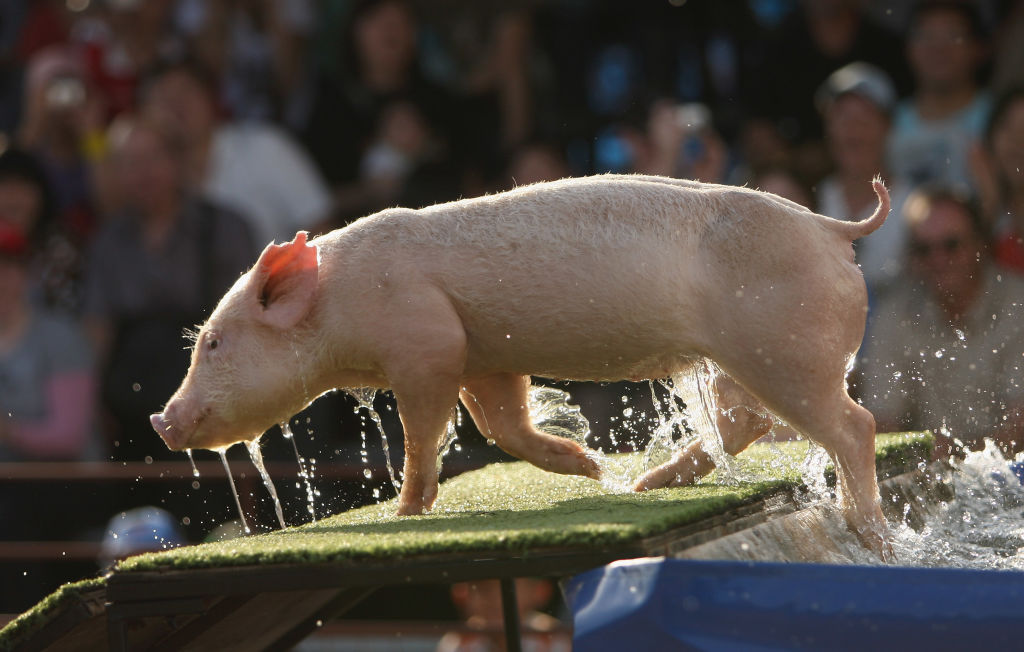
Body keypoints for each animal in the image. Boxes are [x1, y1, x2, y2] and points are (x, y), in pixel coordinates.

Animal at [150, 174, 892, 555]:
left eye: (212, 343)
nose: (161, 419)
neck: (342, 300)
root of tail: (834, 228)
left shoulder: (425, 343)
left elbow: (425, 433)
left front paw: (406, 513)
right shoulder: (483, 355)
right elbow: (501, 425)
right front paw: (589, 466)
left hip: (785, 349)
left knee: (854, 424)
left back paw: (868, 535)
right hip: (744, 356)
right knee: (746, 422)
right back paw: (644, 484)